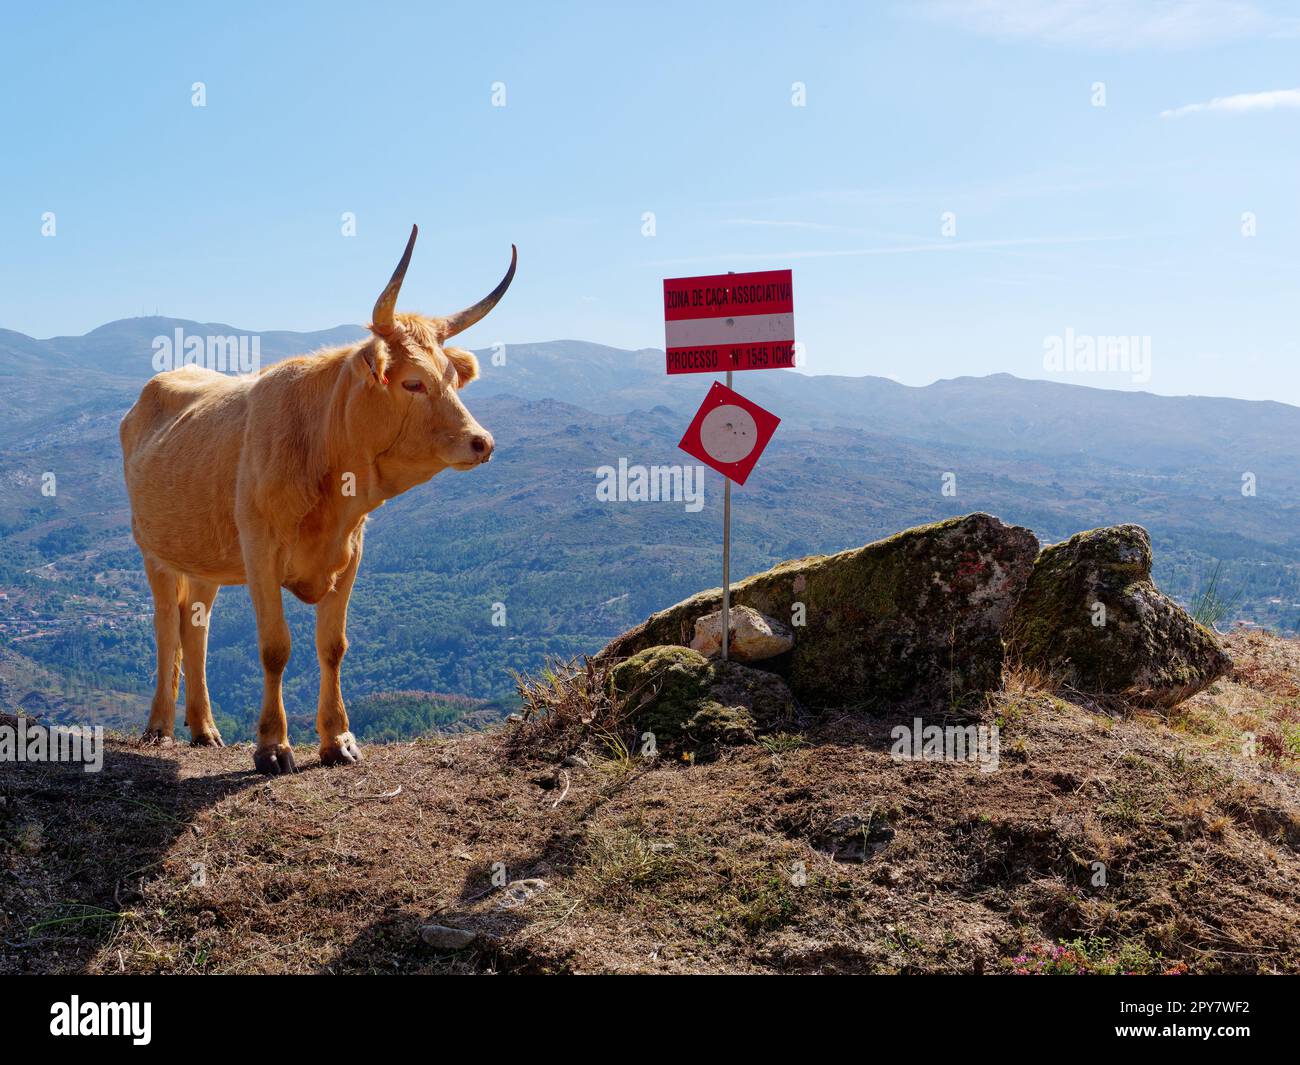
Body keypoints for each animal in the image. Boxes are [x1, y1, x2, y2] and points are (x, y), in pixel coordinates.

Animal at [119, 226, 514, 774]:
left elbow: (333, 646)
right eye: (413, 382)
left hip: (206, 556)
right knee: (165, 625)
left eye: (453, 379)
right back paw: (159, 727)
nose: (482, 442)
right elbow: (274, 648)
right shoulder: (260, 551)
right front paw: (272, 746)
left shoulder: (351, 552)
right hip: (154, 550)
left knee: (195, 625)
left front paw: (337, 740)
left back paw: (204, 729)